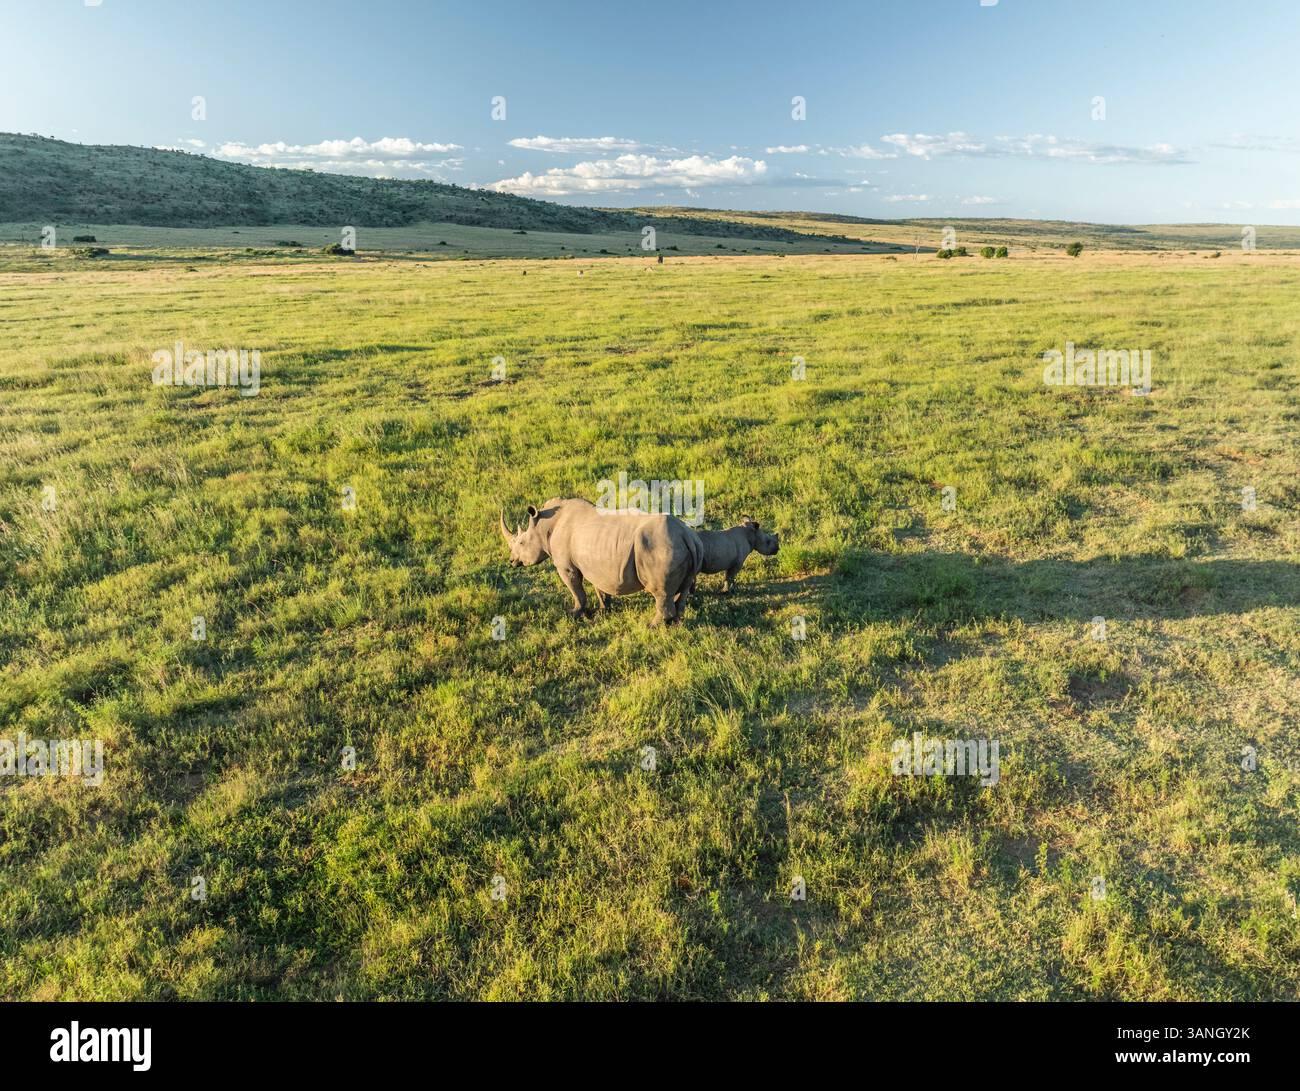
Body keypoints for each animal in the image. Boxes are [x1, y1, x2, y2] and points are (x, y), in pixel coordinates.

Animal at [500, 497, 704, 625]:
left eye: (521, 542)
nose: (511, 561)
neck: (544, 526)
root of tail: (687, 535)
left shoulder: (566, 566)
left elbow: (576, 590)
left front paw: (574, 613)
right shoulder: (595, 563)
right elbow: (600, 587)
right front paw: (603, 609)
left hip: (659, 547)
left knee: (660, 593)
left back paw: (652, 626)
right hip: (680, 546)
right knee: (682, 589)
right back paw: (676, 623)